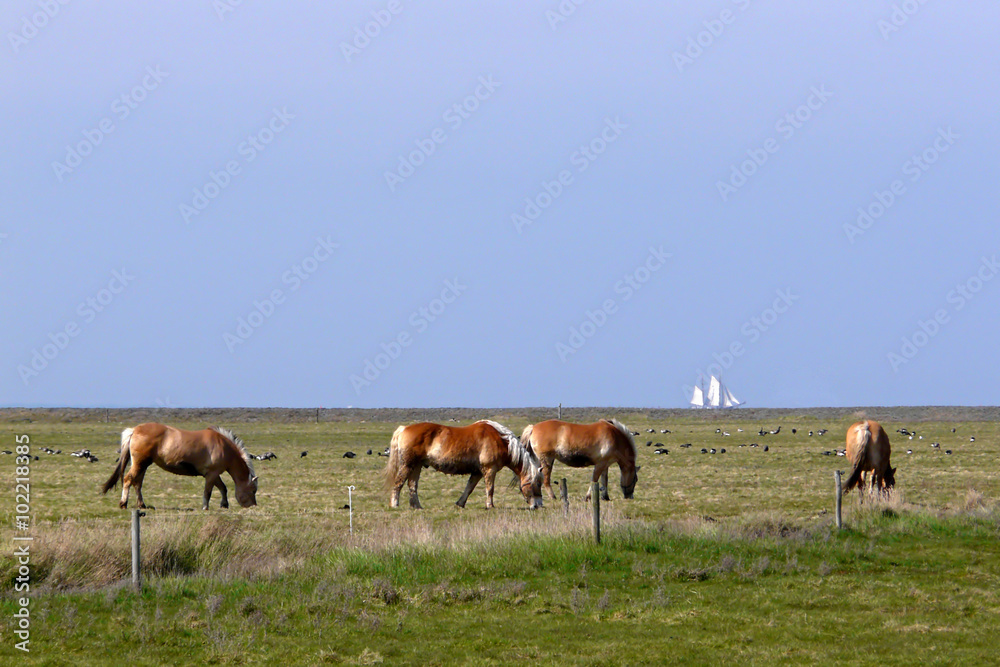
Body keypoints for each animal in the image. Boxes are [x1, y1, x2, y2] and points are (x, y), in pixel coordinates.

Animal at [102, 423, 259, 510]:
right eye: (253, 490)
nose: (253, 505)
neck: (223, 446)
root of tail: (134, 430)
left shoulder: (214, 475)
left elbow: (223, 488)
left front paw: (224, 504)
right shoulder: (212, 474)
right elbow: (208, 492)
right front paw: (205, 507)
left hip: (143, 465)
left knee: (137, 483)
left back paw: (142, 505)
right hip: (140, 464)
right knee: (128, 480)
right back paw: (123, 503)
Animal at [383, 420, 543, 510]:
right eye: (535, 484)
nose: (537, 506)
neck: (500, 440)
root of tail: (404, 428)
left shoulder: (477, 472)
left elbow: (469, 488)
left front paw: (460, 504)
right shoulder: (489, 470)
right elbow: (490, 489)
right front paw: (490, 506)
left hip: (417, 466)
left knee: (412, 486)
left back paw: (416, 506)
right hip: (407, 464)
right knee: (398, 483)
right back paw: (395, 504)